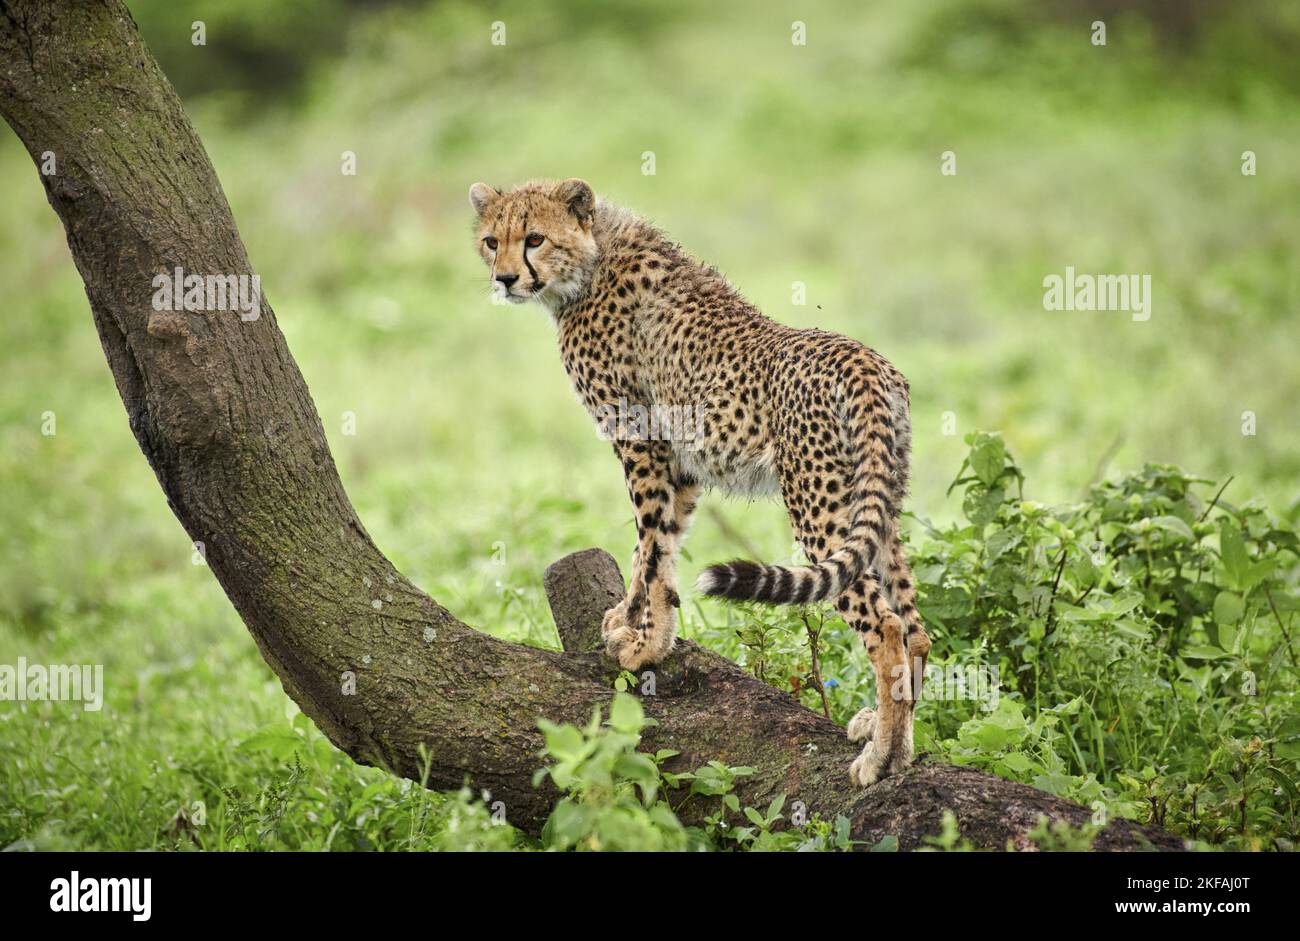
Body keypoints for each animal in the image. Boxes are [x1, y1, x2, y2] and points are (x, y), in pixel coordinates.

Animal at [469, 177, 931, 786]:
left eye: (535, 239)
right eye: (491, 240)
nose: (504, 278)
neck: (592, 260)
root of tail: (865, 361)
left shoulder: (639, 438)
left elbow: (647, 544)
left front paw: (639, 642)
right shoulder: (682, 460)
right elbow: (661, 546)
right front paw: (643, 630)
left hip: (818, 502)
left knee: (885, 626)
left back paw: (879, 759)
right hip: (877, 500)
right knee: (916, 625)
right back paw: (892, 740)